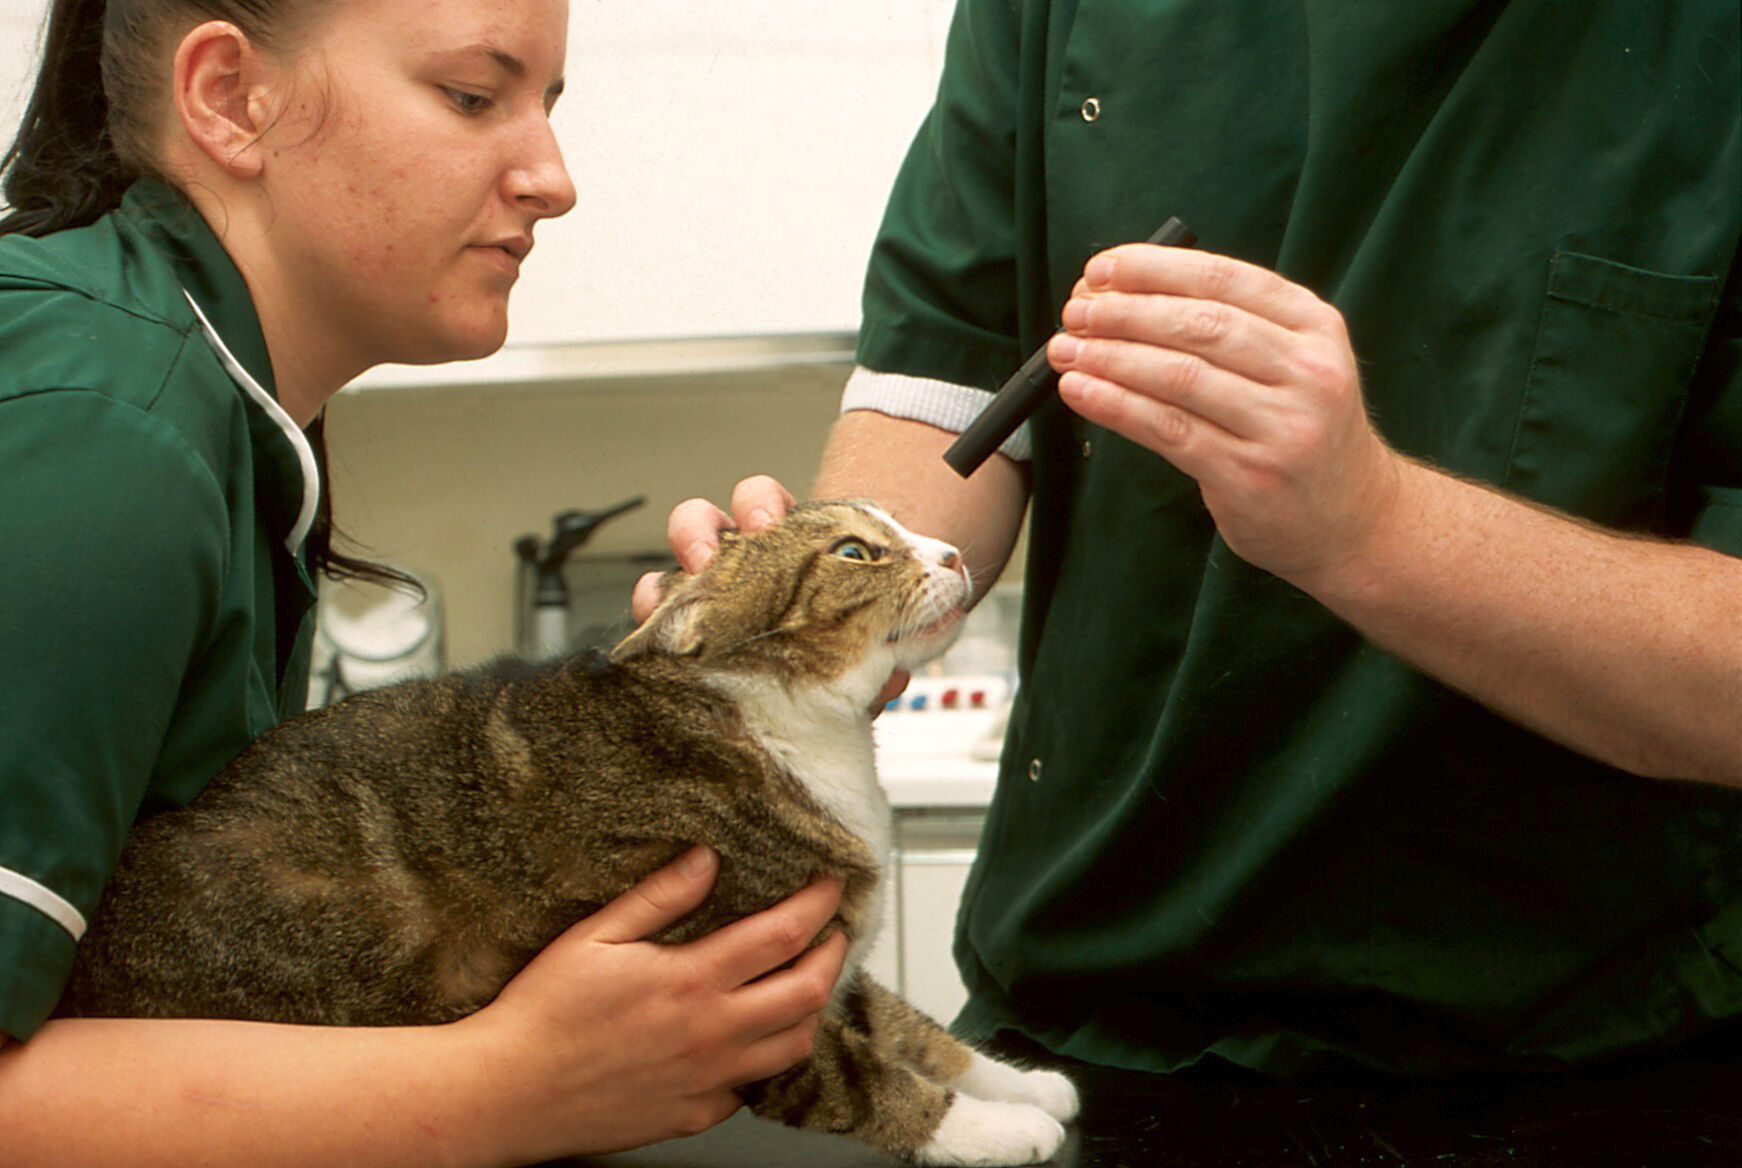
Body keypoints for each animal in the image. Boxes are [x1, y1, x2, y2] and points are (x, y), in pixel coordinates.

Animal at [57, 502, 1073, 1168]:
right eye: (858, 550)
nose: (954, 550)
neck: (805, 732)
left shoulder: (829, 953)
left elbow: (908, 1025)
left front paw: (1027, 1083)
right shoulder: (738, 974)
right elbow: (862, 1078)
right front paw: (989, 1129)